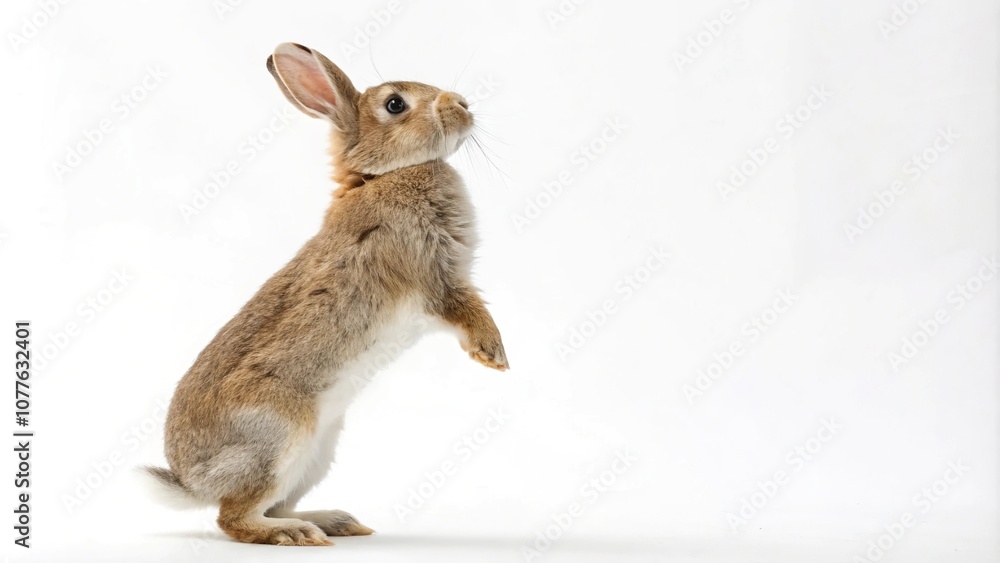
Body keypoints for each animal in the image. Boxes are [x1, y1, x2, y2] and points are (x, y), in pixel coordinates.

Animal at [141, 42, 509, 546]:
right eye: (395, 104)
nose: (463, 105)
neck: (385, 174)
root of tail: (192, 481)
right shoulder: (432, 276)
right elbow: (467, 309)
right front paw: (493, 355)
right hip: (279, 439)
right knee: (233, 518)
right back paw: (297, 535)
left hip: (316, 454)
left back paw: (334, 522)